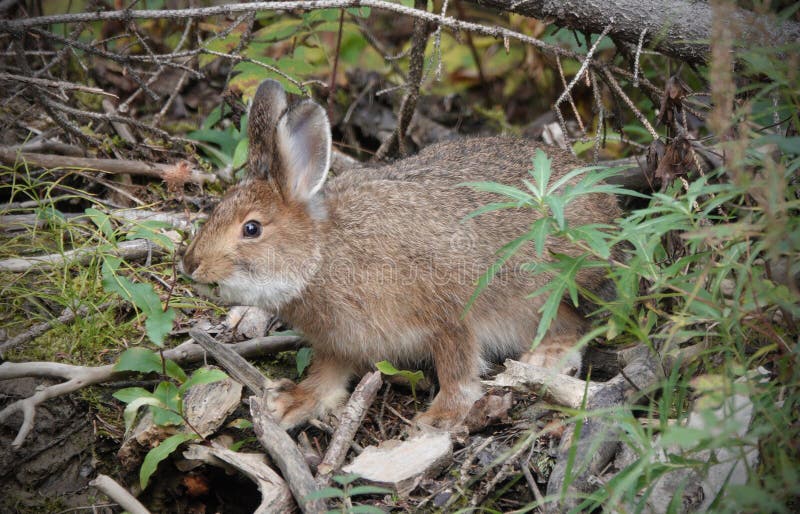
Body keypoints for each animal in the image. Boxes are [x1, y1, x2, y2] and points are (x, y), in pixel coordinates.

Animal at [182, 79, 623, 430]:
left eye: (251, 228)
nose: (190, 265)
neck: (322, 253)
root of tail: (610, 211)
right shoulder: (342, 343)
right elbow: (327, 376)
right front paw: (292, 403)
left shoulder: (447, 312)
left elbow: (458, 365)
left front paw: (442, 416)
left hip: (545, 289)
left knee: (576, 323)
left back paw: (545, 357)